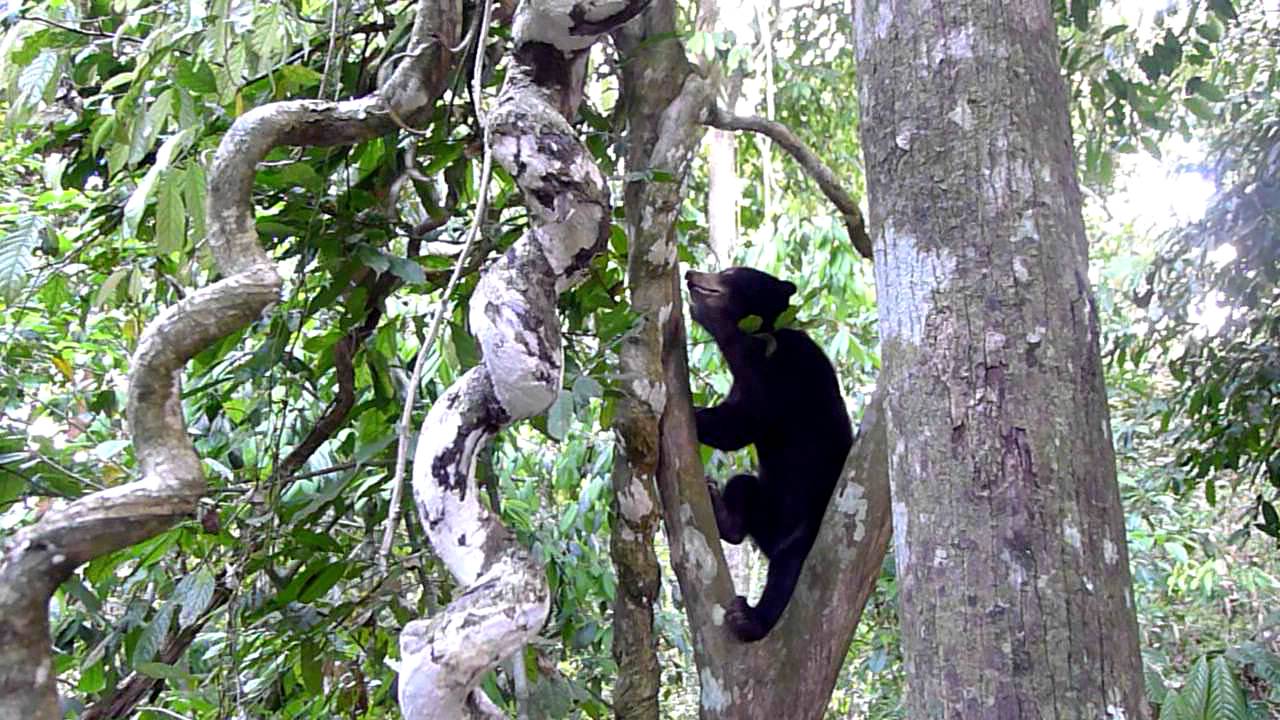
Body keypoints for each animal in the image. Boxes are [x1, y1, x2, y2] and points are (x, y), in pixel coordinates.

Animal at [685, 266, 853, 642]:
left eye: (731, 272)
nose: (690, 273)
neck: (749, 350)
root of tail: (775, 540)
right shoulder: (744, 380)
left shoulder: (785, 375)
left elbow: (742, 424)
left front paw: (694, 414)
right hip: (767, 506)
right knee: (743, 485)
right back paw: (723, 512)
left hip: (806, 527)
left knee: (785, 575)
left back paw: (750, 620)